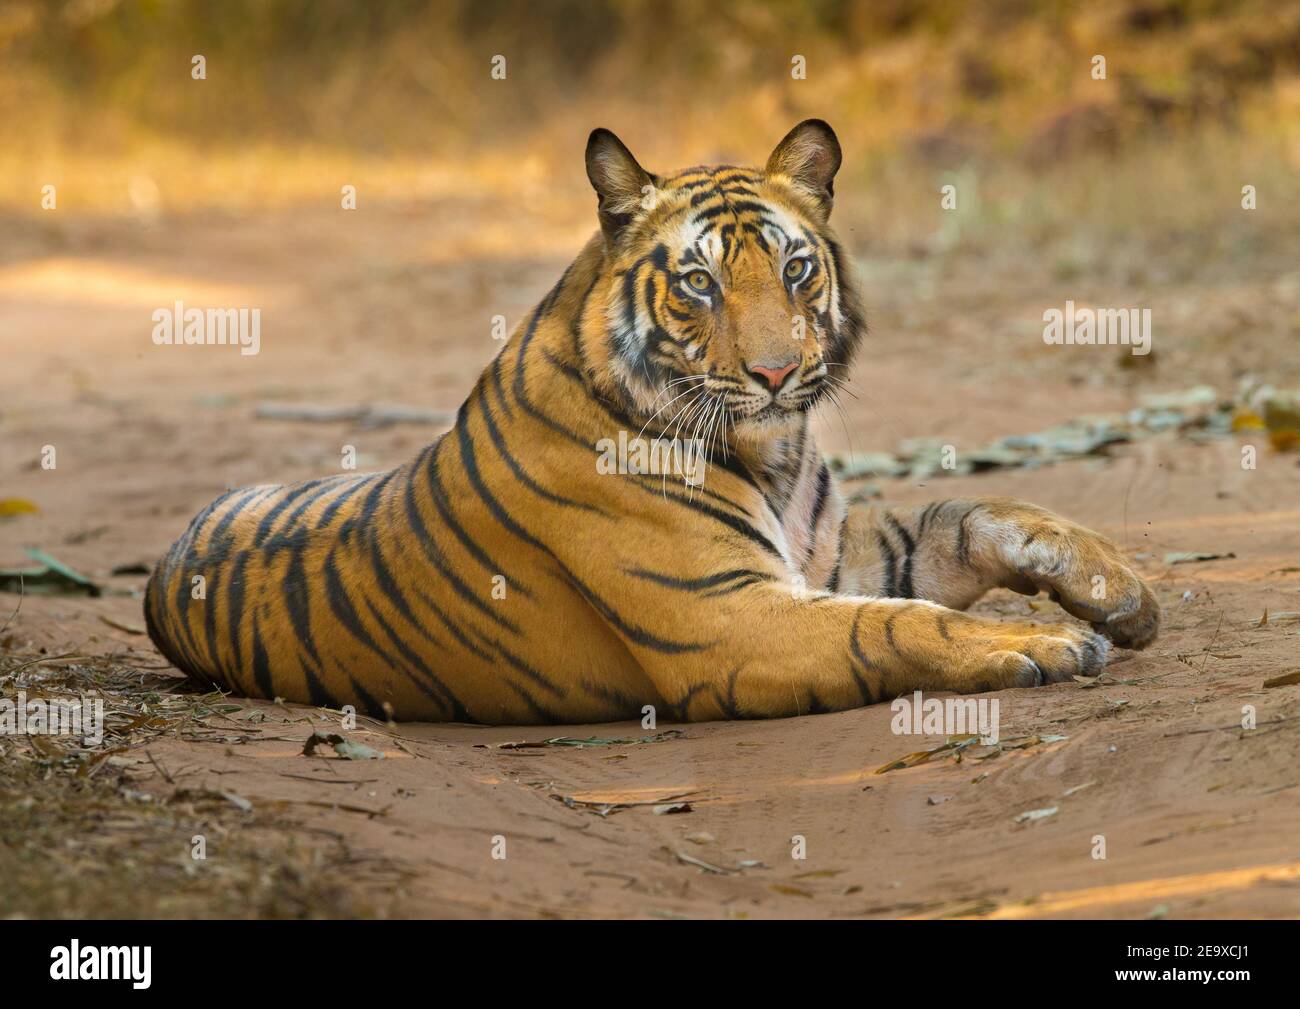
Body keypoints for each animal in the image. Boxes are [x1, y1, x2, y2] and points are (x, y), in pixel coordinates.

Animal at [145, 120, 1160, 724]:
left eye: (795, 269)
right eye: (700, 282)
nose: (777, 372)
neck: (774, 447)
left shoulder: (831, 555)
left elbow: (974, 513)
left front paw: (1119, 590)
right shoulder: (731, 614)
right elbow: (900, 625)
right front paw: (1042, 644)